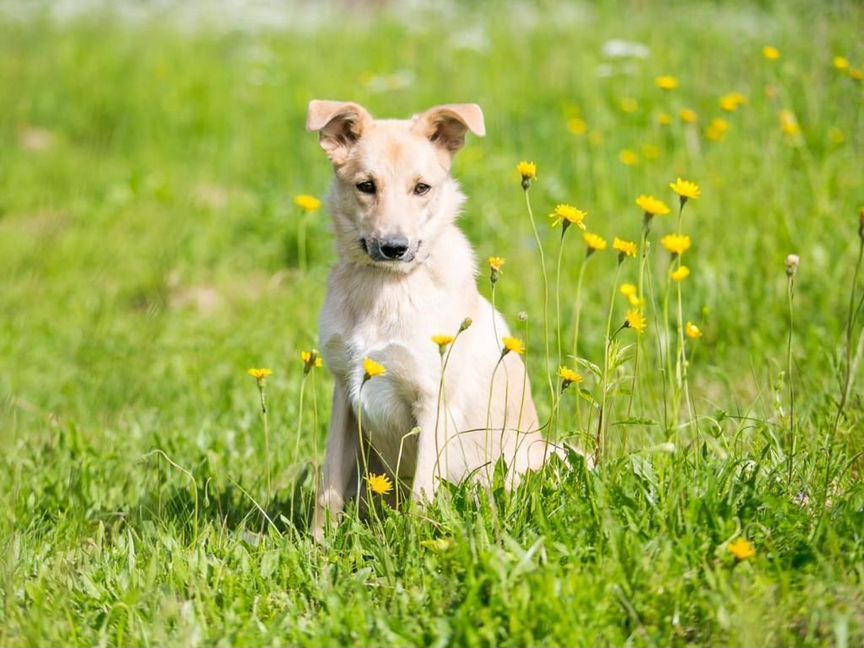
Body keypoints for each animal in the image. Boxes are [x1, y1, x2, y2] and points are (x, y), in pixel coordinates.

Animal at [308, 100, 564, 536]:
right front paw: (317, 546)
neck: (386, 287)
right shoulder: (345, 395)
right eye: (366, 186)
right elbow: (329, 491)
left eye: (422, 188)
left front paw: (415, 546)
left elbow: (422, 497)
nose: (394, 248)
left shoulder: (433, 404)